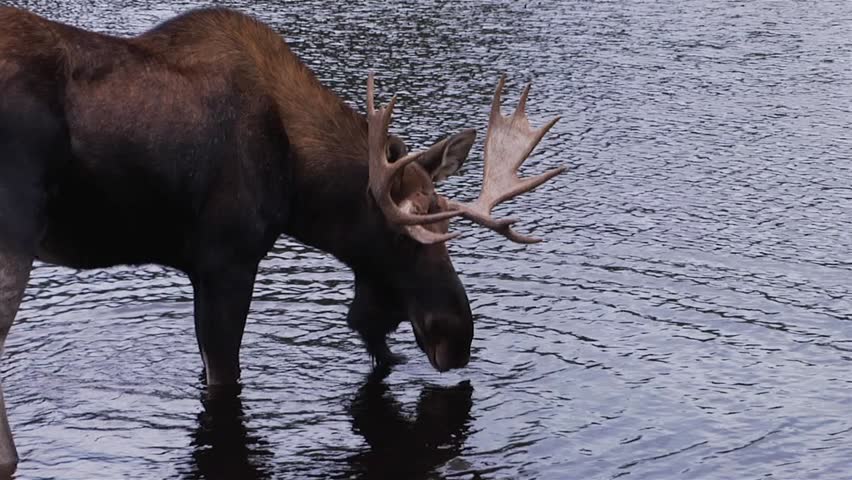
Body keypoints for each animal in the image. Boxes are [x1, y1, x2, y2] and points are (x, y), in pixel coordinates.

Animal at [0, 6, 565, 473]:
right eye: (405, 233)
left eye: (447, 225)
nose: (456, 333)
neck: (300, 183)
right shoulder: (227, 261)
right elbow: (225, 376)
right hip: (15, 236)